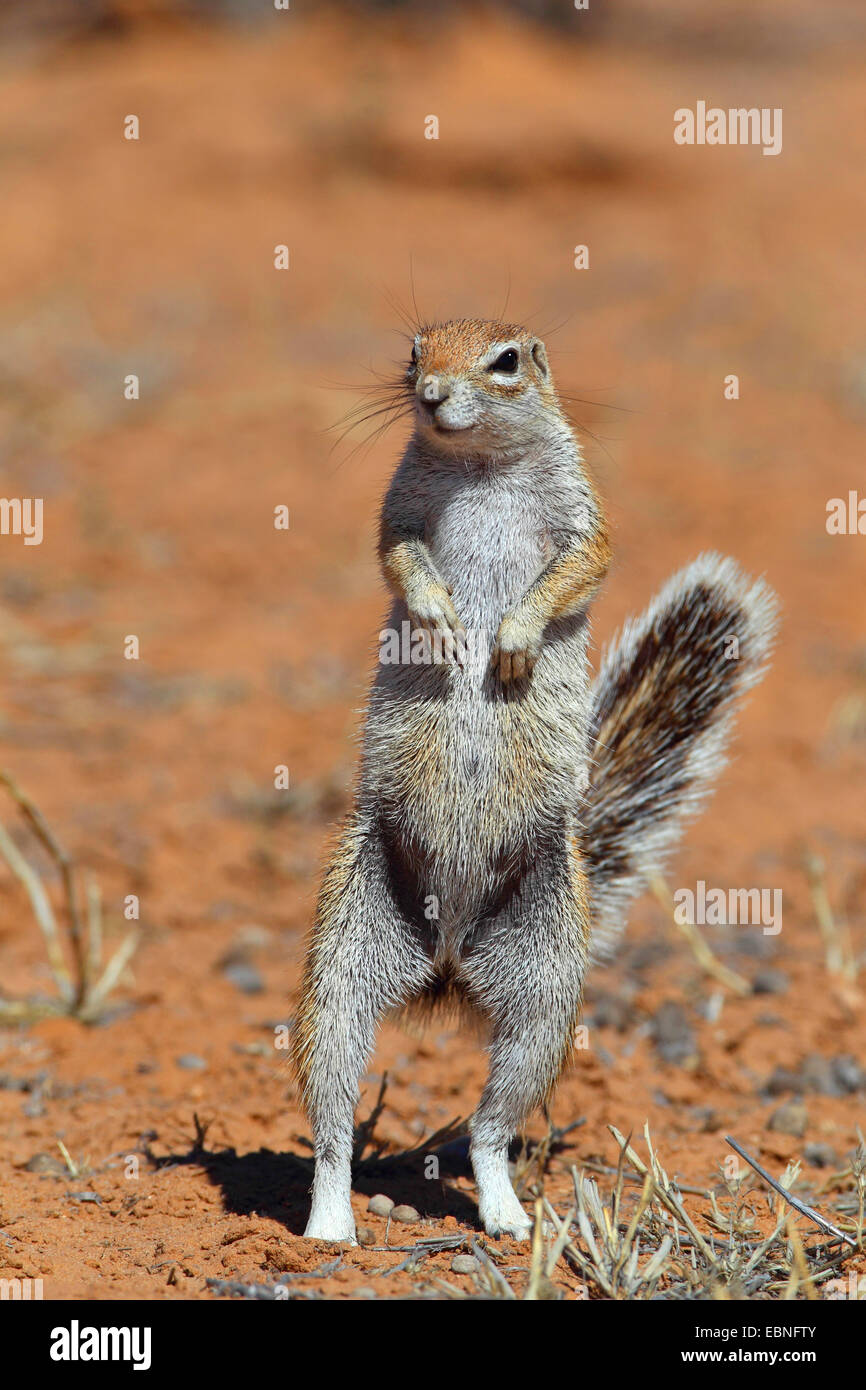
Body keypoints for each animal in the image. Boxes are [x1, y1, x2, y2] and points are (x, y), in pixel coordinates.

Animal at [293, 317, 778, 1244]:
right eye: (415, 352)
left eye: (506, 360)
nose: (430, 395)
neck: (480, 464)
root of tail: (447, 963)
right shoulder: (398, 508)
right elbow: (397, 557)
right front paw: (440, 619)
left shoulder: (581, 515)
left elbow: (583, 563)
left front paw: (512, 637)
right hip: (344, 958)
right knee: (334, 1119)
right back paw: (332, 1222)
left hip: (547, 990)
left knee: (491, 1127)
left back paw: (508, 1213)